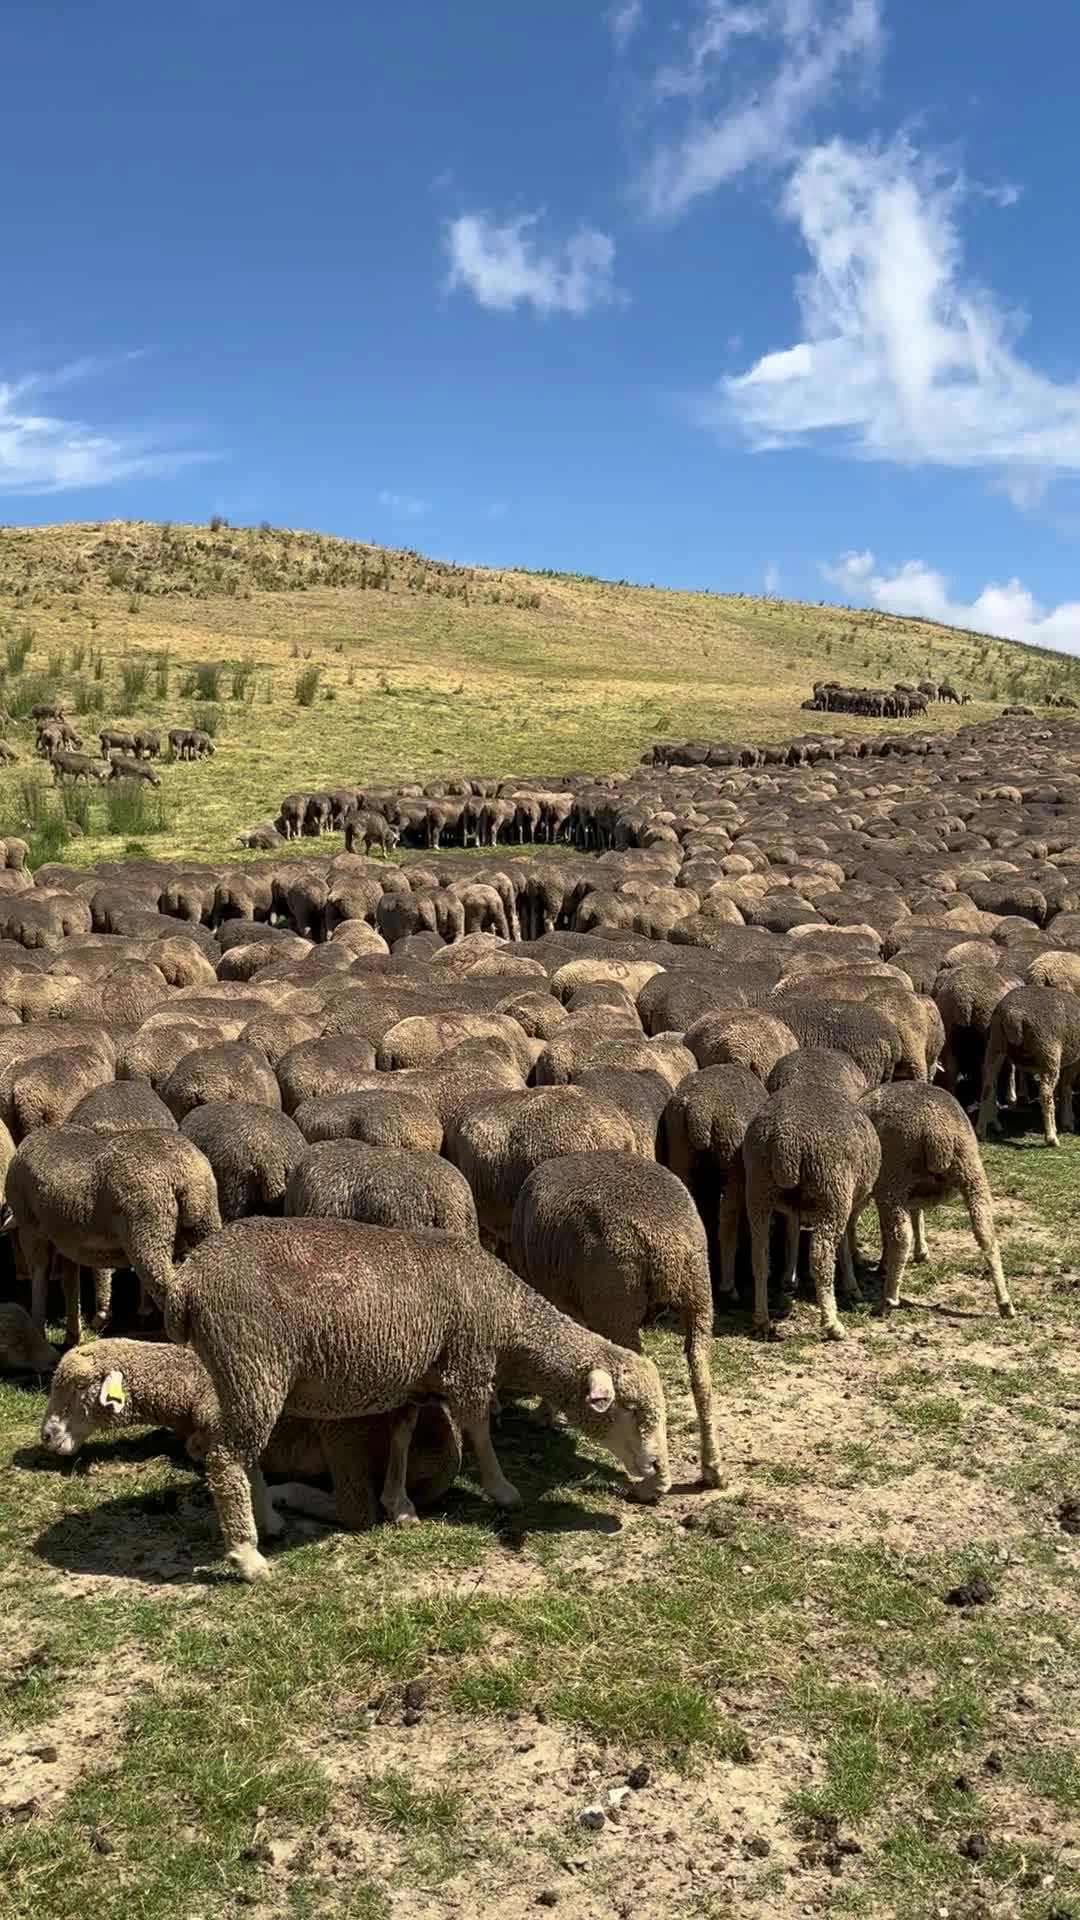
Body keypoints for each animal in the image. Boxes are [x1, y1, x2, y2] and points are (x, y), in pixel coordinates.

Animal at [39, 1338, 461, 1528]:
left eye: (79, 1388)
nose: (45, 1436)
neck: (189, 1382)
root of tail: (447, 1456)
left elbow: (198, 1447)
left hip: (345, 1429)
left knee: (357, 1508)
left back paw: (284, 1495)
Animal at [164, 1217, 670, 1579]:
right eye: (629, 1408)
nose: (656, 1467)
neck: (508, 1320)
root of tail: (186, 1281)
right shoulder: (468, 1364)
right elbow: (479, 1430)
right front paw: (502, 1490)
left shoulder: (415, 1383)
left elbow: (402, 1438)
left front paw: (400, 1505)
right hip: (252, 1361)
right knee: (227, 1457)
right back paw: (247, 1555)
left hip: (242, 1375)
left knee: (243, 1451)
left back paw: (267, 1520)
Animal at [511, 1152, 721, 1486]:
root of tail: (668, 1243)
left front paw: (547, 1414)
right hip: (699, 1293)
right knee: (701, 1375)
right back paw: (712, 1467)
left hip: (617, 1305)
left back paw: (655, 1479)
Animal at [742, 1084, 882, 1340]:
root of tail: (785, 1141)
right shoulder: (847, 1200)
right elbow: (843, 1246)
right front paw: (852, 1285)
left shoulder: (792, 1207)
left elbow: (793, 1234)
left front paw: (789, 1278)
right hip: (832, 1188)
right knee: (821, 1256)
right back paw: (832, 1323)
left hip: (758, 1186)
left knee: (759, 1255)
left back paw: (761, 1320)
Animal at [861, 1082, 1014, 1318]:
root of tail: (937, 1133)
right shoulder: (913, 1192)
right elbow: (917, 1214)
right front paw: (920, 1252)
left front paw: (886, 1263)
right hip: (972, 1172)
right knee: (987, 1234)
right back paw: (1005, 1303)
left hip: (893, 1178)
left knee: (901, 1237)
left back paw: (887, 1301)